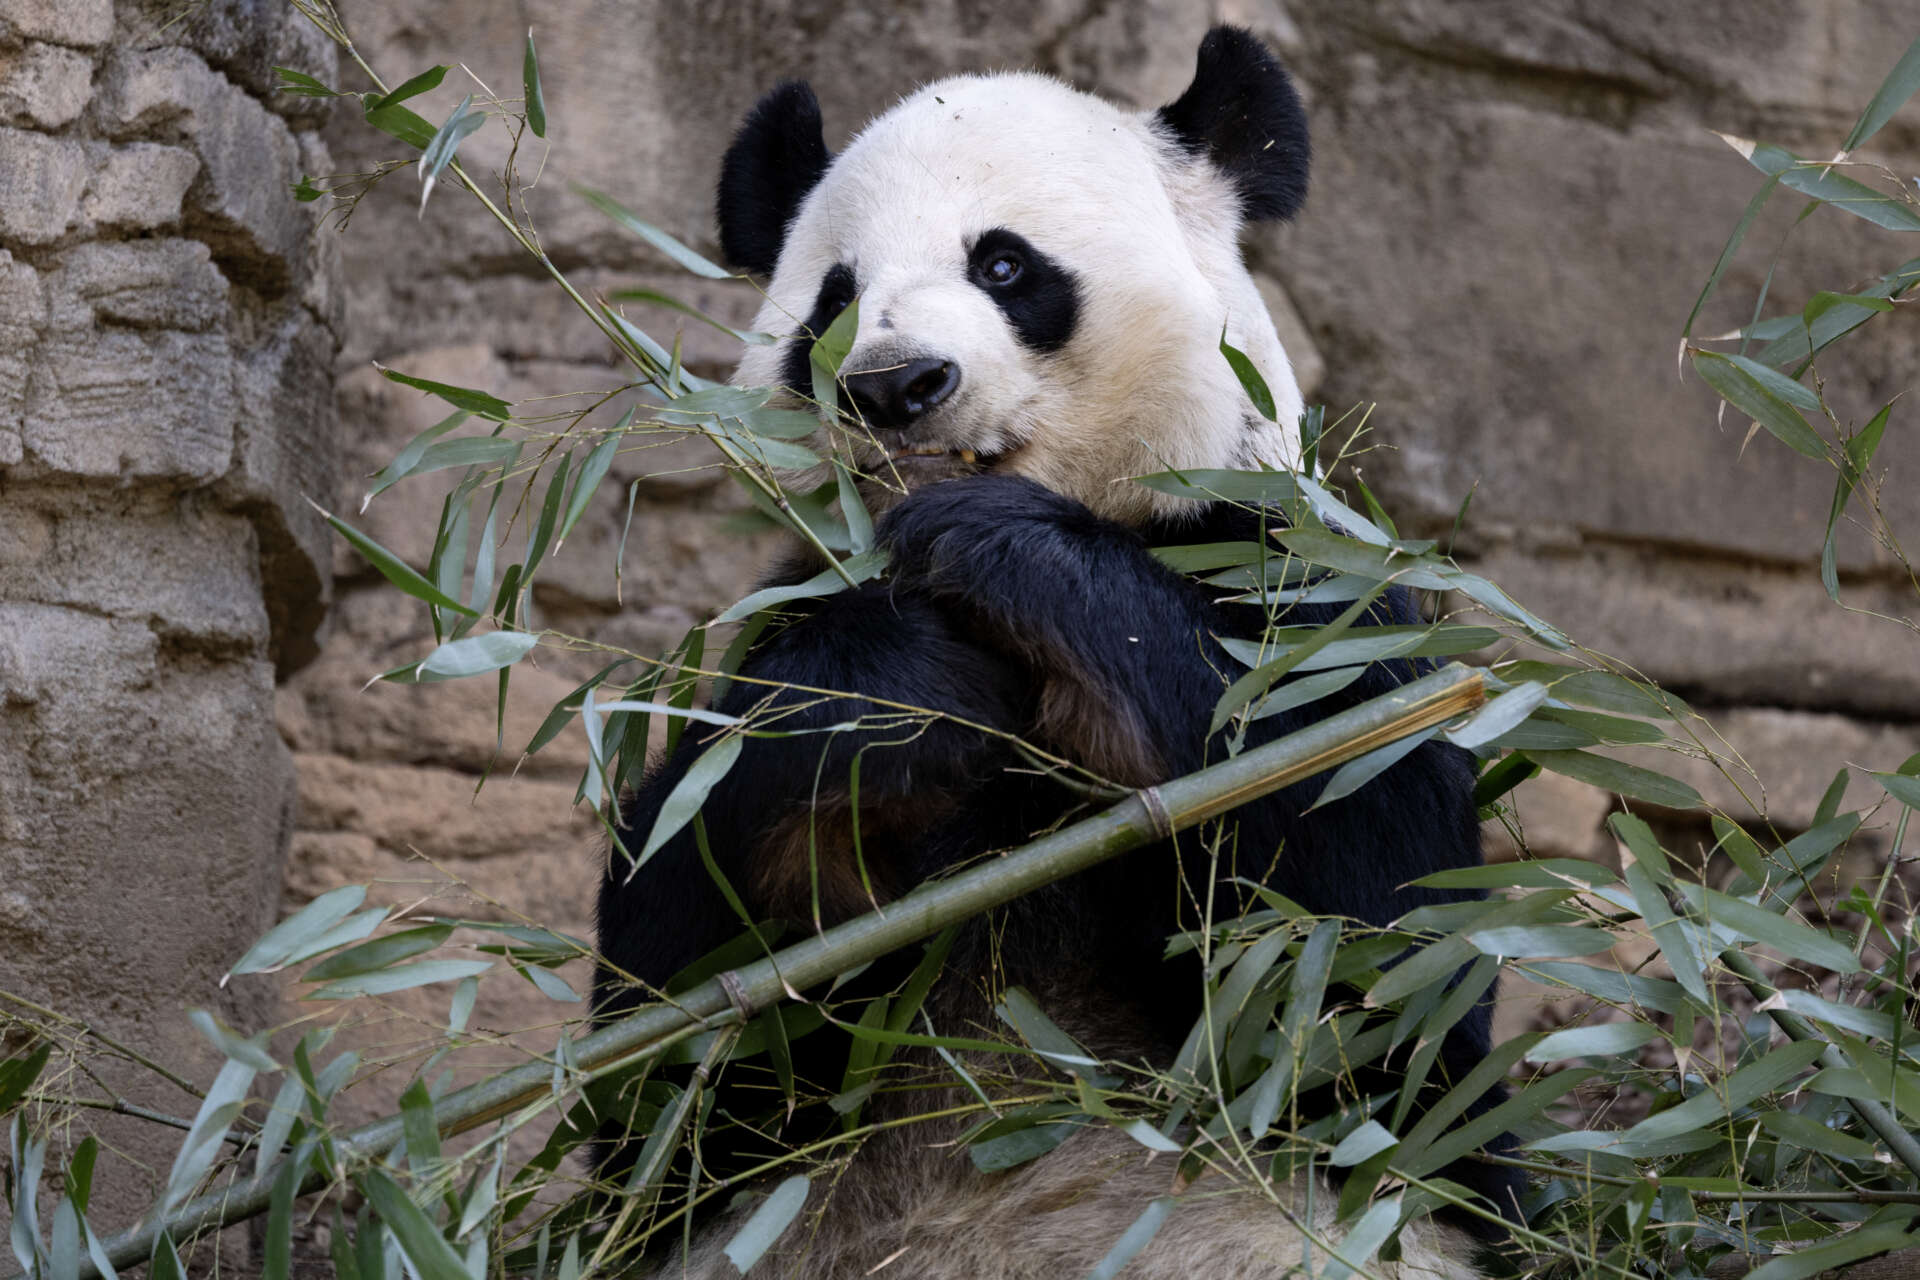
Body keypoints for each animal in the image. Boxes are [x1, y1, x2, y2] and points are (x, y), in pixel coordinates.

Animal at [595, 26, 1520, 1279]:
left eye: (1003, 265)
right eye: (834, 300)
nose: (895, 385)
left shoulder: (1310, 583)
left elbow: (1372, 955)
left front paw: (1008, 552)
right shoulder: (771, 629)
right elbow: (668, 1037)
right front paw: (889, 693)